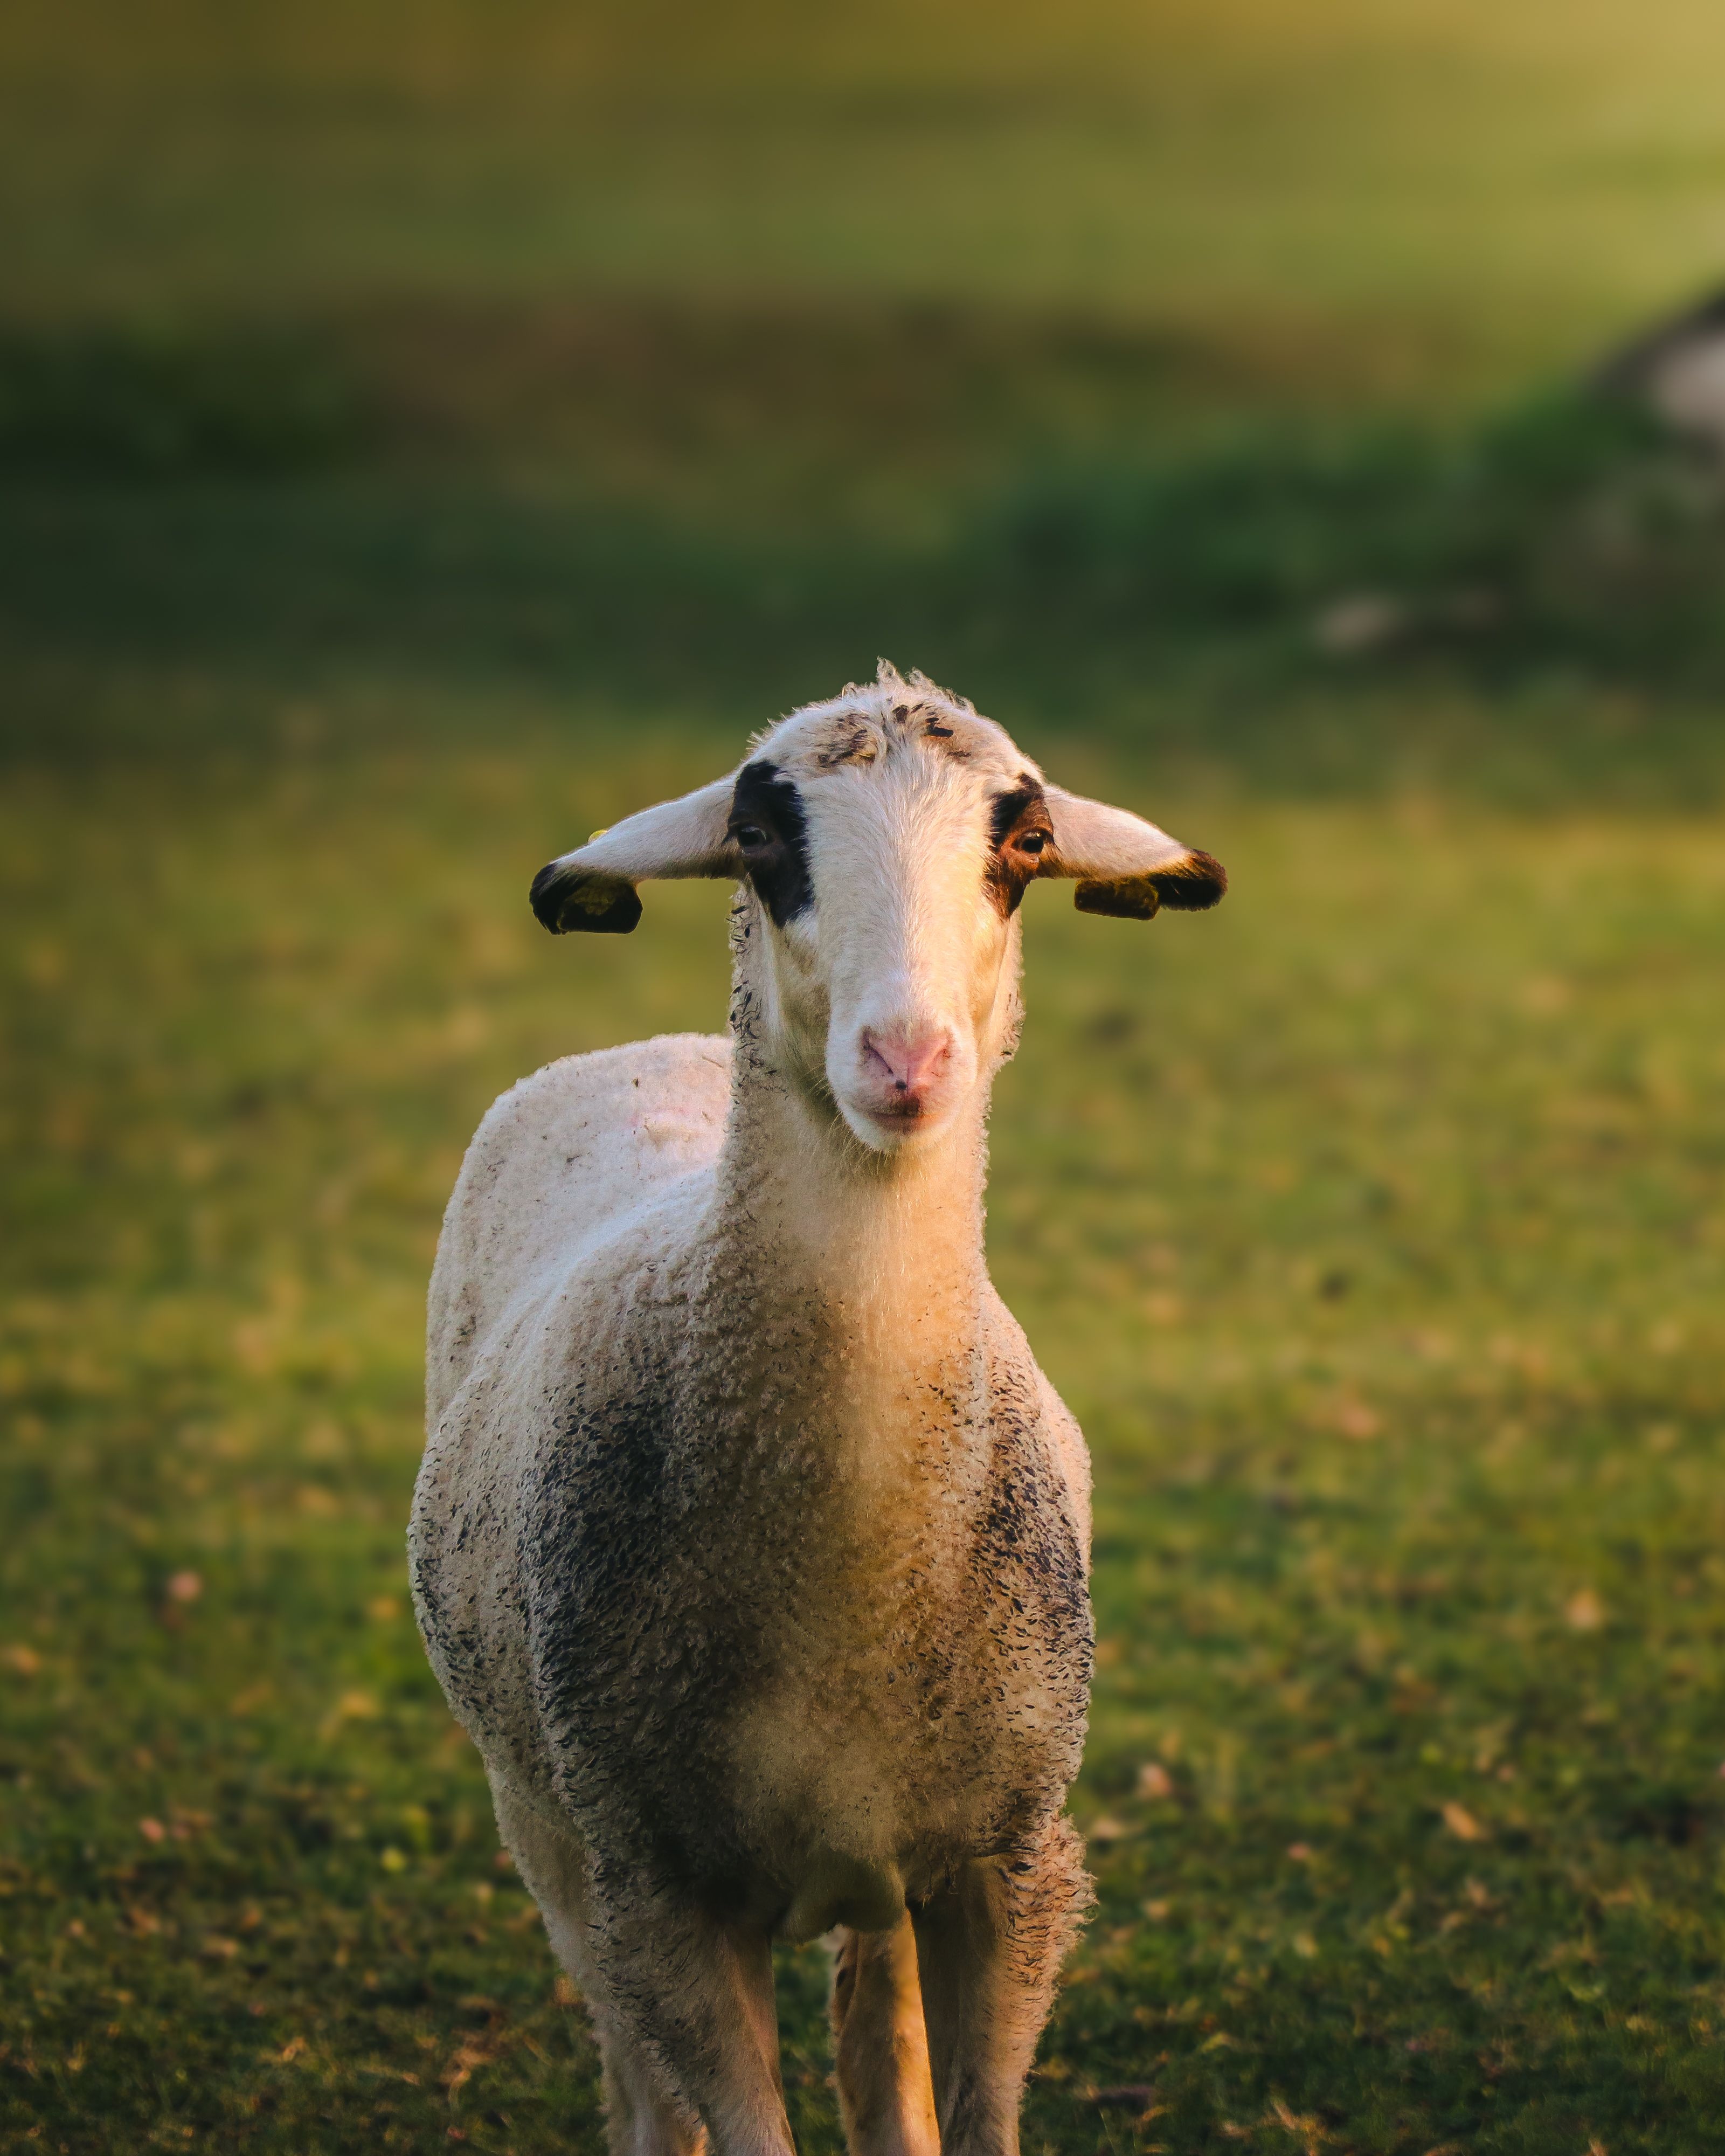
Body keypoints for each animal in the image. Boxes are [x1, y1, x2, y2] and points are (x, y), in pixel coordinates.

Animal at [410, 663, 1226, 2156]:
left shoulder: (1008, 1862)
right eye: (760, 841)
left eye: (1023, 844)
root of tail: (647, 1048)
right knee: (640, 2087)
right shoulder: (658, 1891)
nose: (906, 1058)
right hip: (550, 1831)